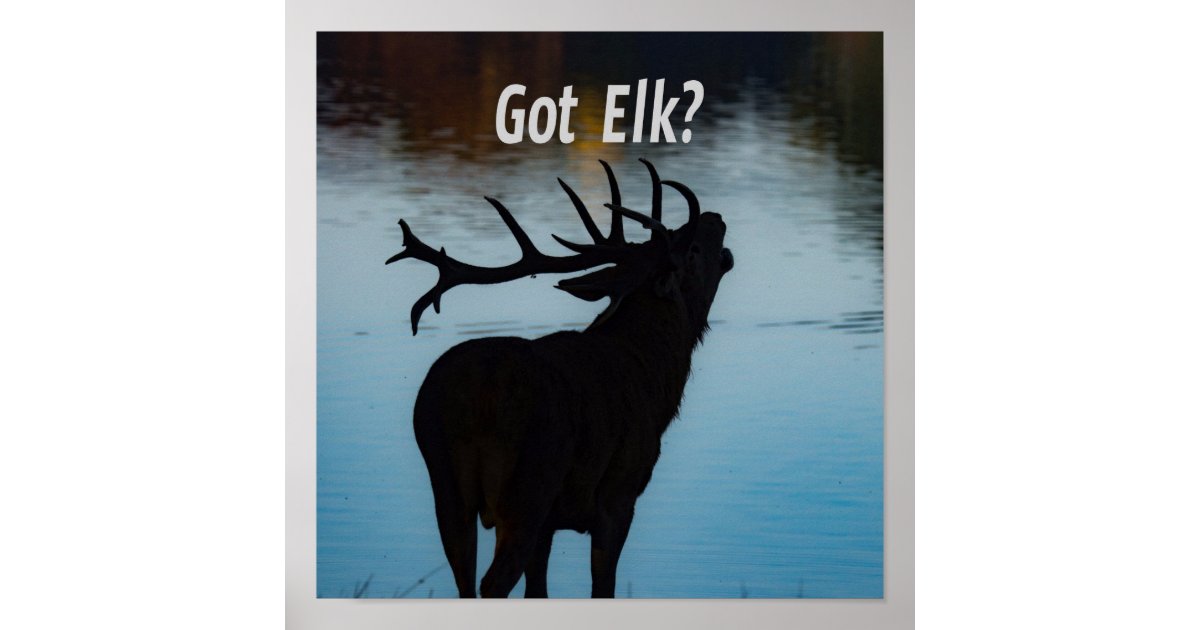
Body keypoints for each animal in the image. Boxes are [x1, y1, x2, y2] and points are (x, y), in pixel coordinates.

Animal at [385, 159, 734, 598]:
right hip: (528, 486)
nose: (716, 217)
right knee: (493, 581)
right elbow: (603, 588)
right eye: (691, 249)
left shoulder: (551, 523)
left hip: (447, 487)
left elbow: (539, 590)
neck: (656, 380)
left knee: (465, 579)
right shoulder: (619, 496)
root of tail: (474, 397)